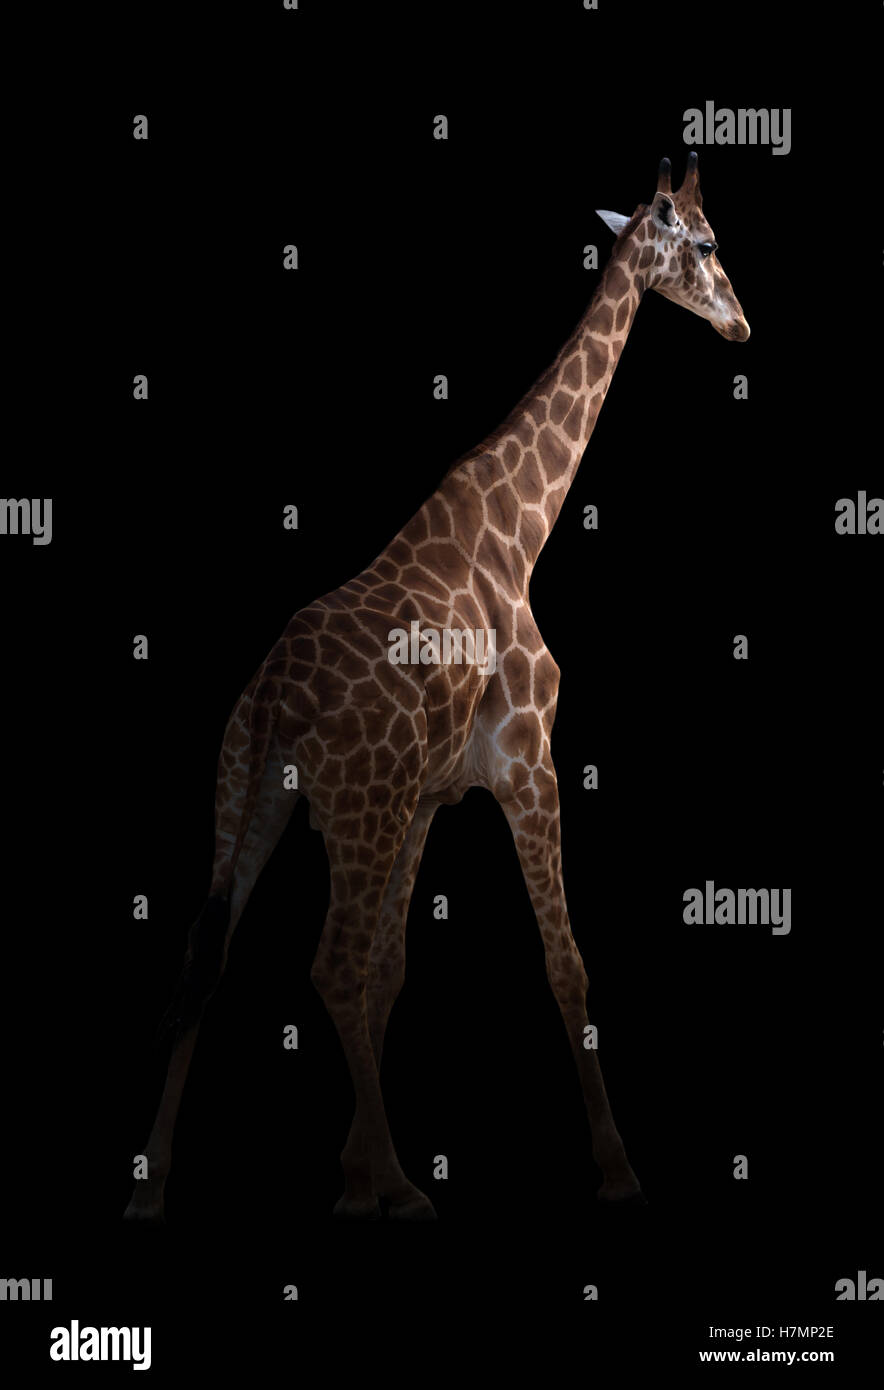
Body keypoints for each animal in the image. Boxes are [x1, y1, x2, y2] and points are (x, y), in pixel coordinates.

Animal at [124, 154, 749, 1223]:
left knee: (210, 955)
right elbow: (564, 964)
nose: (741, 324)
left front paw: (353, 1177)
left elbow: (394, 972)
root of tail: (273, 696)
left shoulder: (425, 797)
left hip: (253, 794)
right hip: (353, 803)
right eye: (706, 243)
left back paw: (152, 1186)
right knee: (326, 963)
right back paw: (412, 1191)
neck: (519, 525)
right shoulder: (529, 764)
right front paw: (616, 1171)